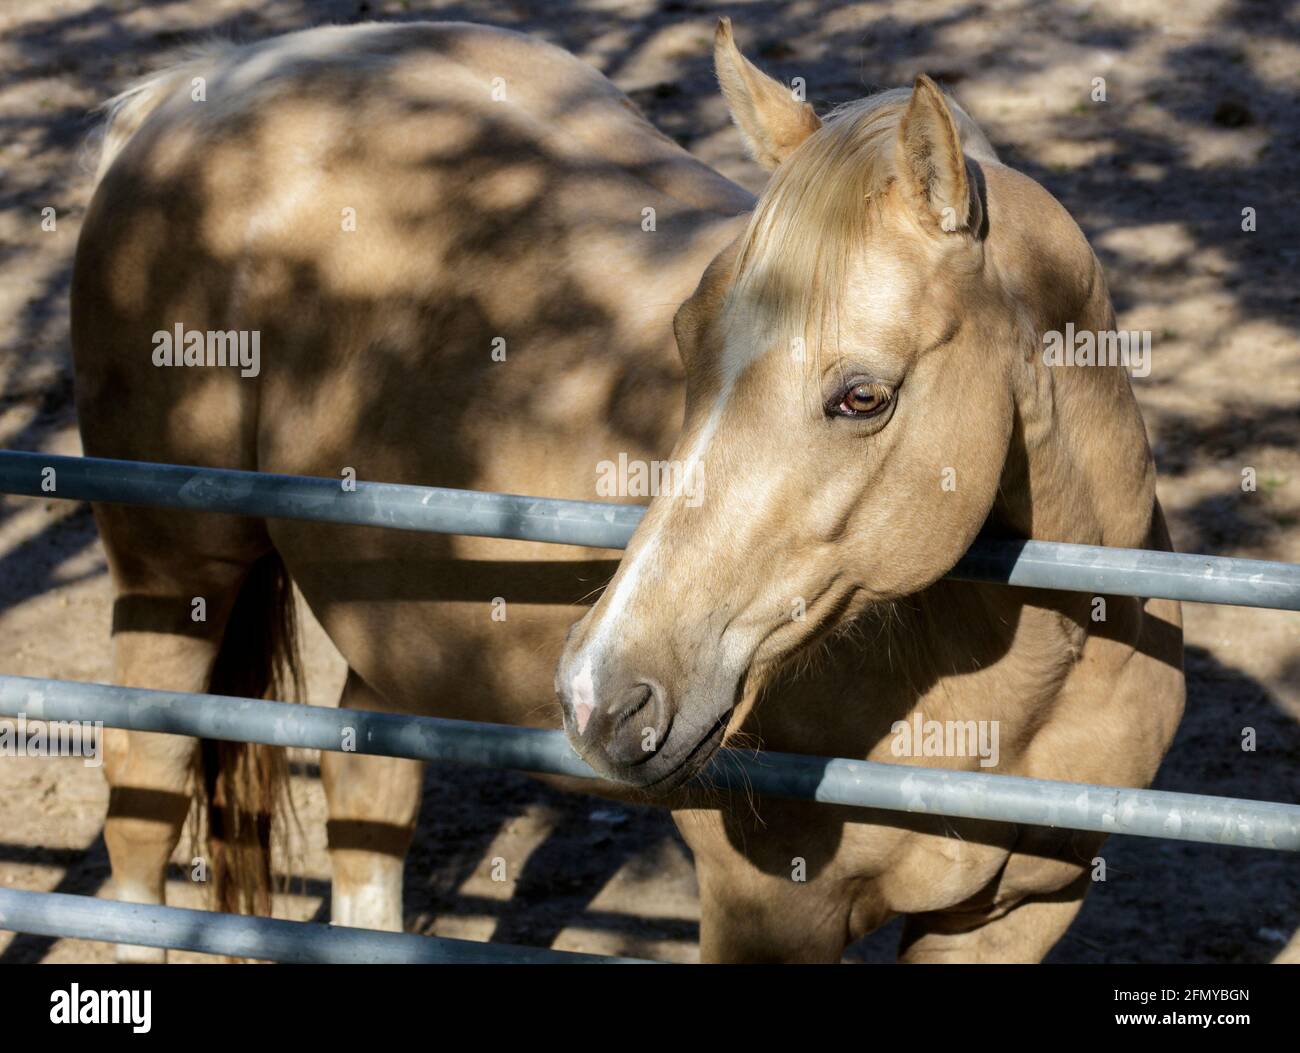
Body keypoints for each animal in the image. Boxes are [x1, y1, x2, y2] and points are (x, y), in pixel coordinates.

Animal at [70, 17, 1184, 963]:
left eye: (862, 395)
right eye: (686, 342)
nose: (600, 695)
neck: (1015, 686)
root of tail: (202, 82)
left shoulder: (1018, 914)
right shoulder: (767, 911)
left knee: (366, 792)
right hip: (172, 569)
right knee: (140, 804)